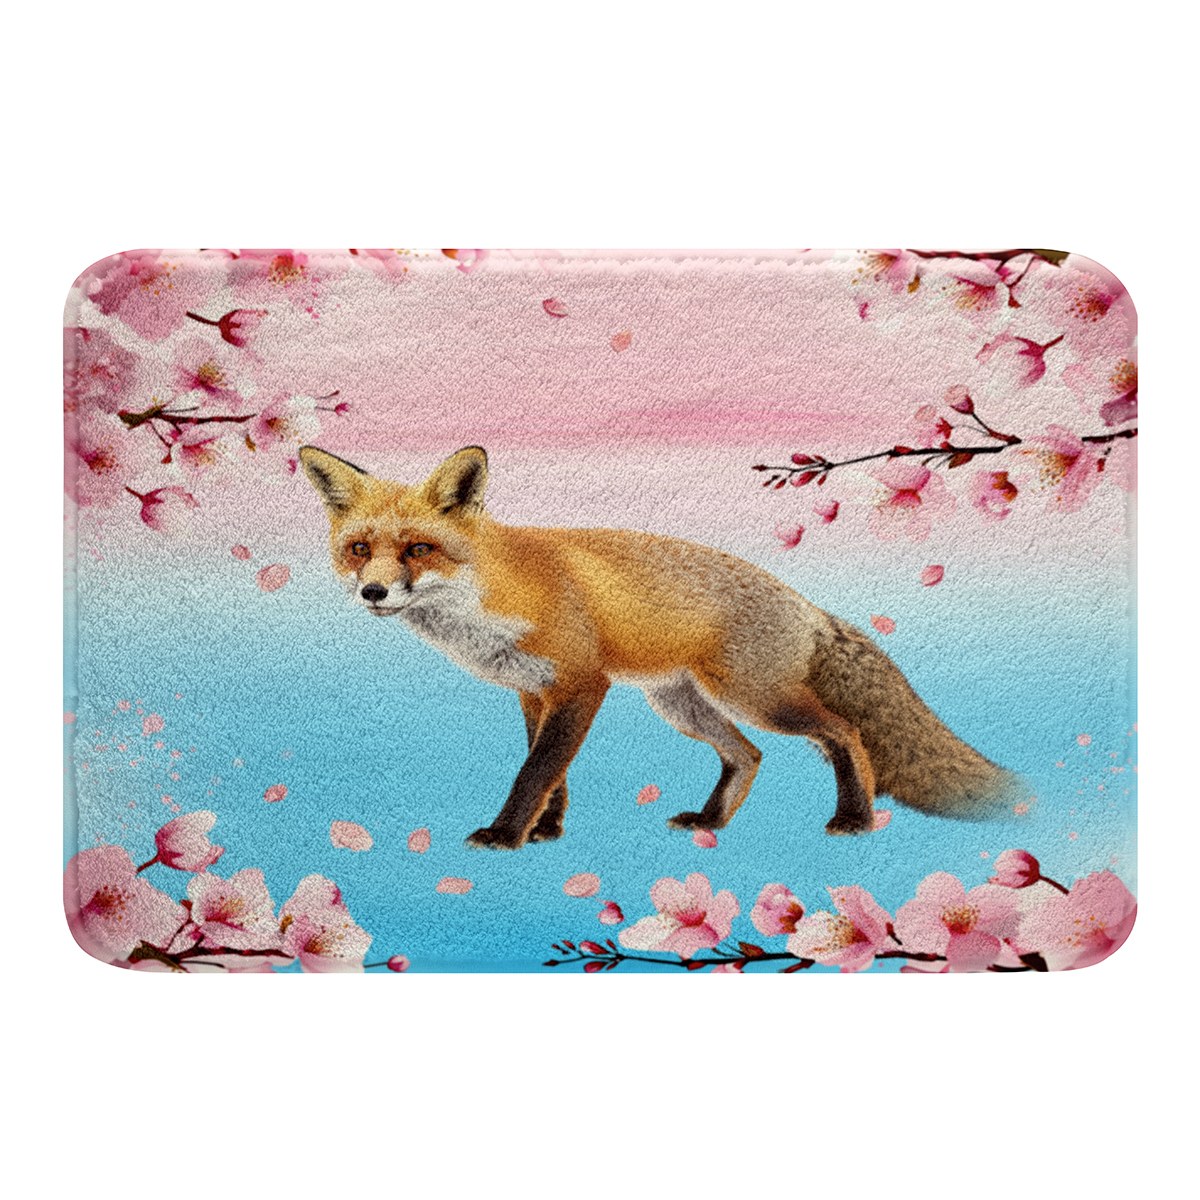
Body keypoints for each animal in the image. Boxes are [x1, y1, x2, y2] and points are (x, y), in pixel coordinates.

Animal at [299, 444, 1021, 850]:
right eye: (359, 548)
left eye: (418, 549)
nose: (373, 592)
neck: (491, 593)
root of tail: (804, 605)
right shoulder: (534, 690)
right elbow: (551, 773)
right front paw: (545, 833)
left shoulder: (582, 684)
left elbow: (535, 771)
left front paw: (506, 836)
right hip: (683, 706)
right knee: (749, 755)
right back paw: (711, 823)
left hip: (755, 697)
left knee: (845, 734)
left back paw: (855, 820)